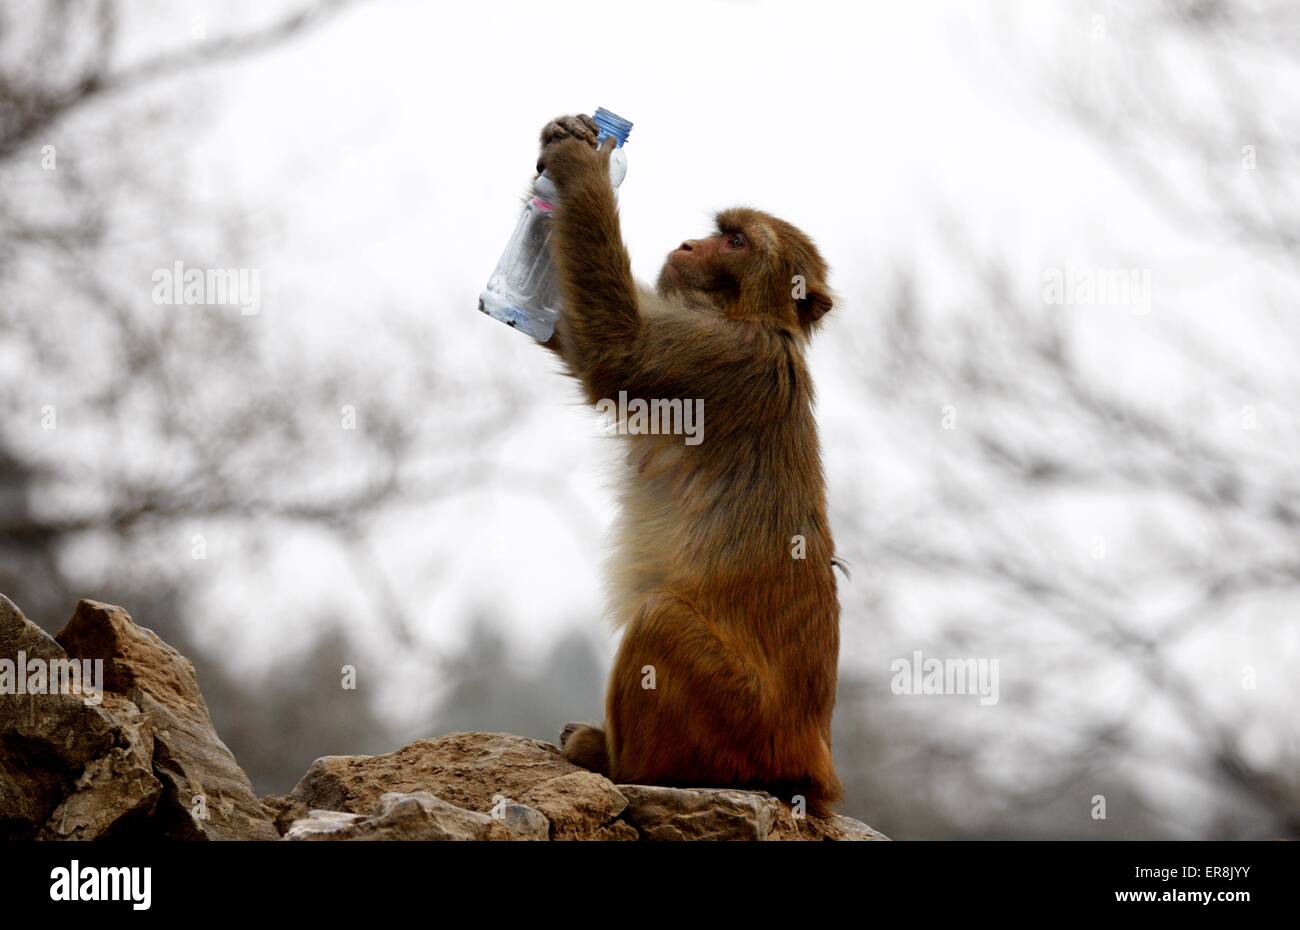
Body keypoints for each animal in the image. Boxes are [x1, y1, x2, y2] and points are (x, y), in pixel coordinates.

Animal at [532, 114, 843, 816]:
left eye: (733, 240)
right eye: (715, 230)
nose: (688, 244)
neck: (751, 317)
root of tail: (810, 758)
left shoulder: (724, 355)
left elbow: (618, 354)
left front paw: (583, 169)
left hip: (735, 718)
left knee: (661, 619)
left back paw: (622, 763)